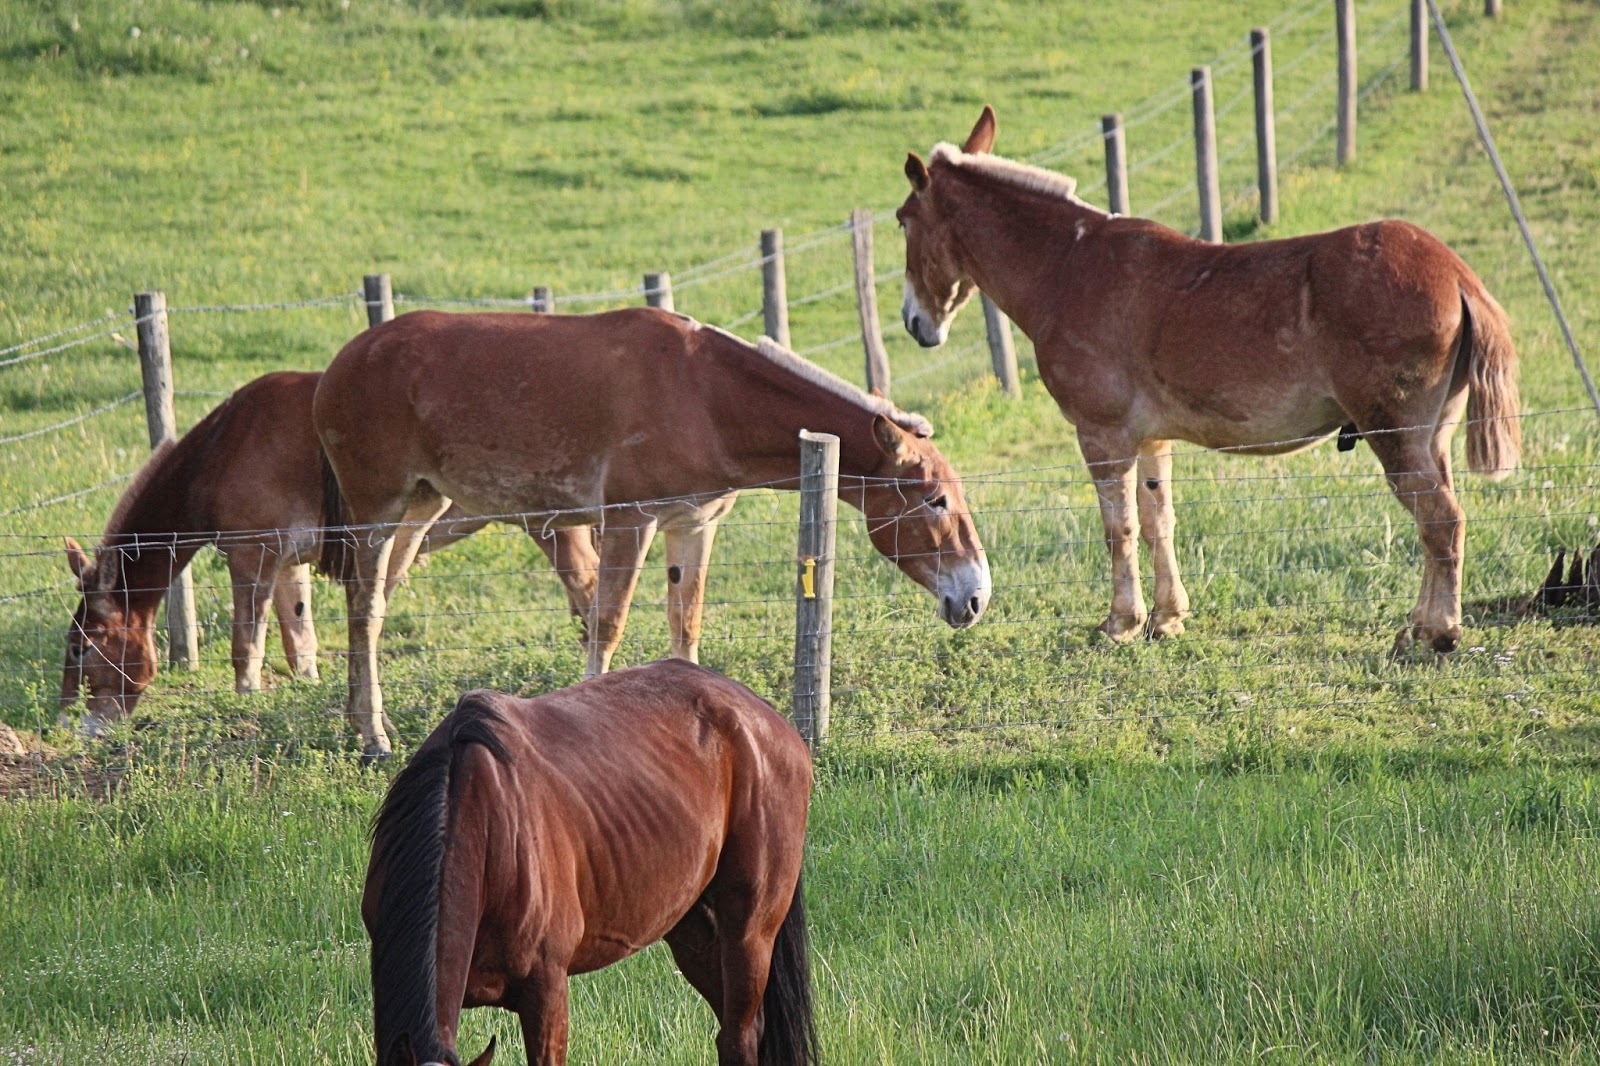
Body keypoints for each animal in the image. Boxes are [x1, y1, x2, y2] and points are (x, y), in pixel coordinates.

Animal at [60, 371, 599, 736]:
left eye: (82, 646)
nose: (69, 722)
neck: (223, 448)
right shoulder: (286, 565)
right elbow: (299, 640)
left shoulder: (251, 555)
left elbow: (246, 645)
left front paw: (245, 704)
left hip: (553, 528)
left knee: (590, 590)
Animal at [315, 308, 991, 759]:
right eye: (935, 501)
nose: (976, 597)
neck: (704, 394)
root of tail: (340, 364)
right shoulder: (628, 521)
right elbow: (606, 625)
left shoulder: (692, 526)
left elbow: (684, 624)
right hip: (378, 512)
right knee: (366, 610)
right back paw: (373, 736)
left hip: (422, 506)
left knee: (371, 605)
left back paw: (358, 722)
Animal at [896, 106, 1520, 653]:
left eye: (904, 221)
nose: (914, 322)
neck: (1068, 268)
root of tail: (1456, 274)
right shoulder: (1152, 440)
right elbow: (1158, 522)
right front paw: (1166, 617)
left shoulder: (1102, 437)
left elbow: (1120, 530)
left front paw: (1122, 622)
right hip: (1431, 437)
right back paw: (1419, 624)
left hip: (1395, 437)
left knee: (1440, 521)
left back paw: (1438, 632)